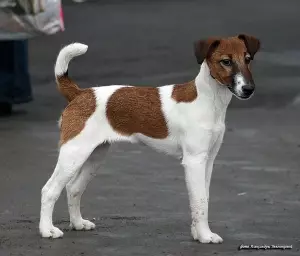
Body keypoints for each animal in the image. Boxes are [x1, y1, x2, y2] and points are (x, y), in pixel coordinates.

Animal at [39, 34, 260, 244]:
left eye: (248, 59)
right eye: (226, 61)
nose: (248, 89)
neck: (207, 100)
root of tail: (80, 94)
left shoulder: (208, 160)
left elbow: (202, 198)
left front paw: (197, 233)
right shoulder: (194, 161)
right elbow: (200, 202)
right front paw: (205, 236)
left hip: (94, 156)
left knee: (73, 188)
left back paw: (77, 223)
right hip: (74, 154)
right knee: (49, 190)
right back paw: (47, 230)